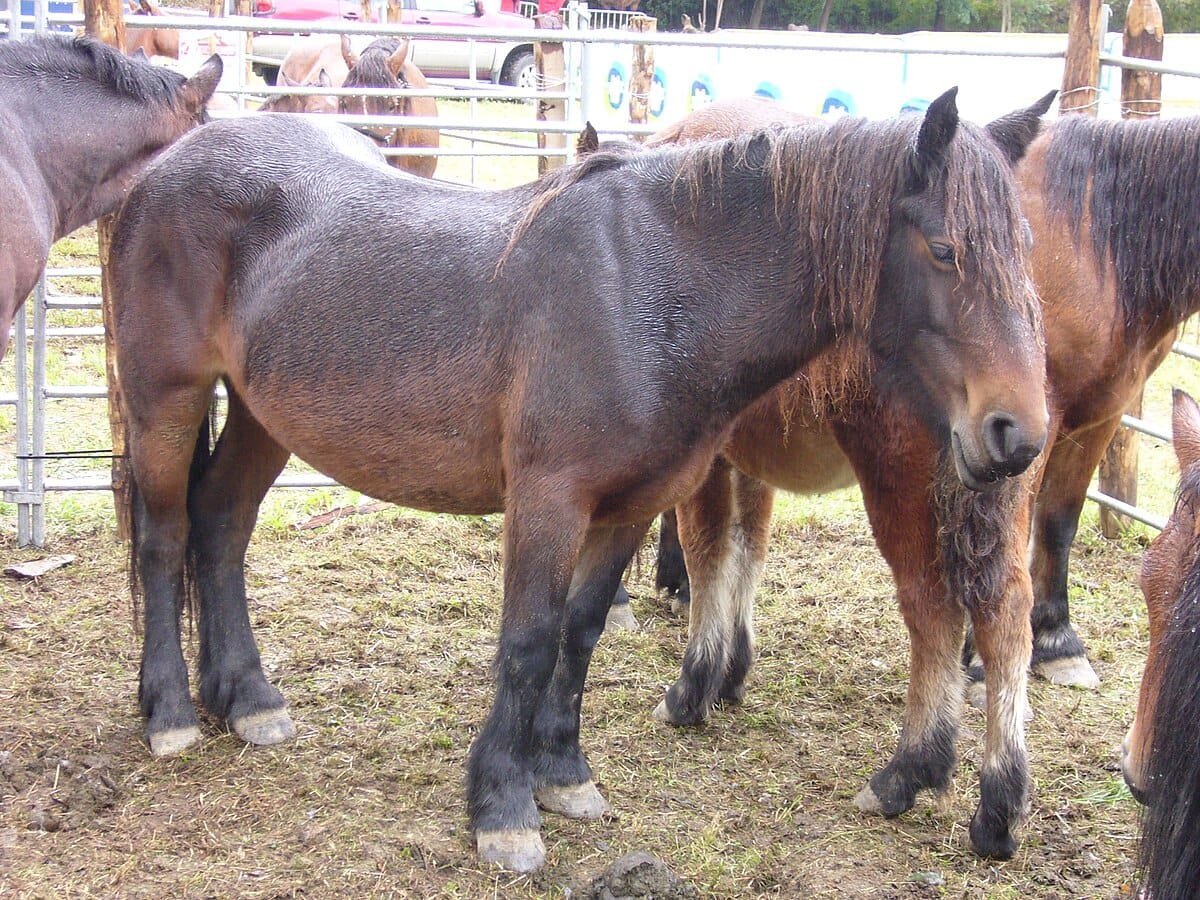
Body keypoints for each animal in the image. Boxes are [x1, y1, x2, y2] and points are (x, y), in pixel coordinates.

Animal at [110, 93, 1047, 871]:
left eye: (1027, 250)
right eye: (946, 249)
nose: (1018, 434)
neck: (654, 287)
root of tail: (166, 163)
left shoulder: (633, 505)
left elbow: (582, 632)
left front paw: (563, 772)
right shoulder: (548, 501)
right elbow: (528, 643)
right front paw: (502, 808)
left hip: (263, 415)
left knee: (221, 526)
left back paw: (247, 698)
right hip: (166, 401)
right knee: (165, 539)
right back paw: (172, 714)